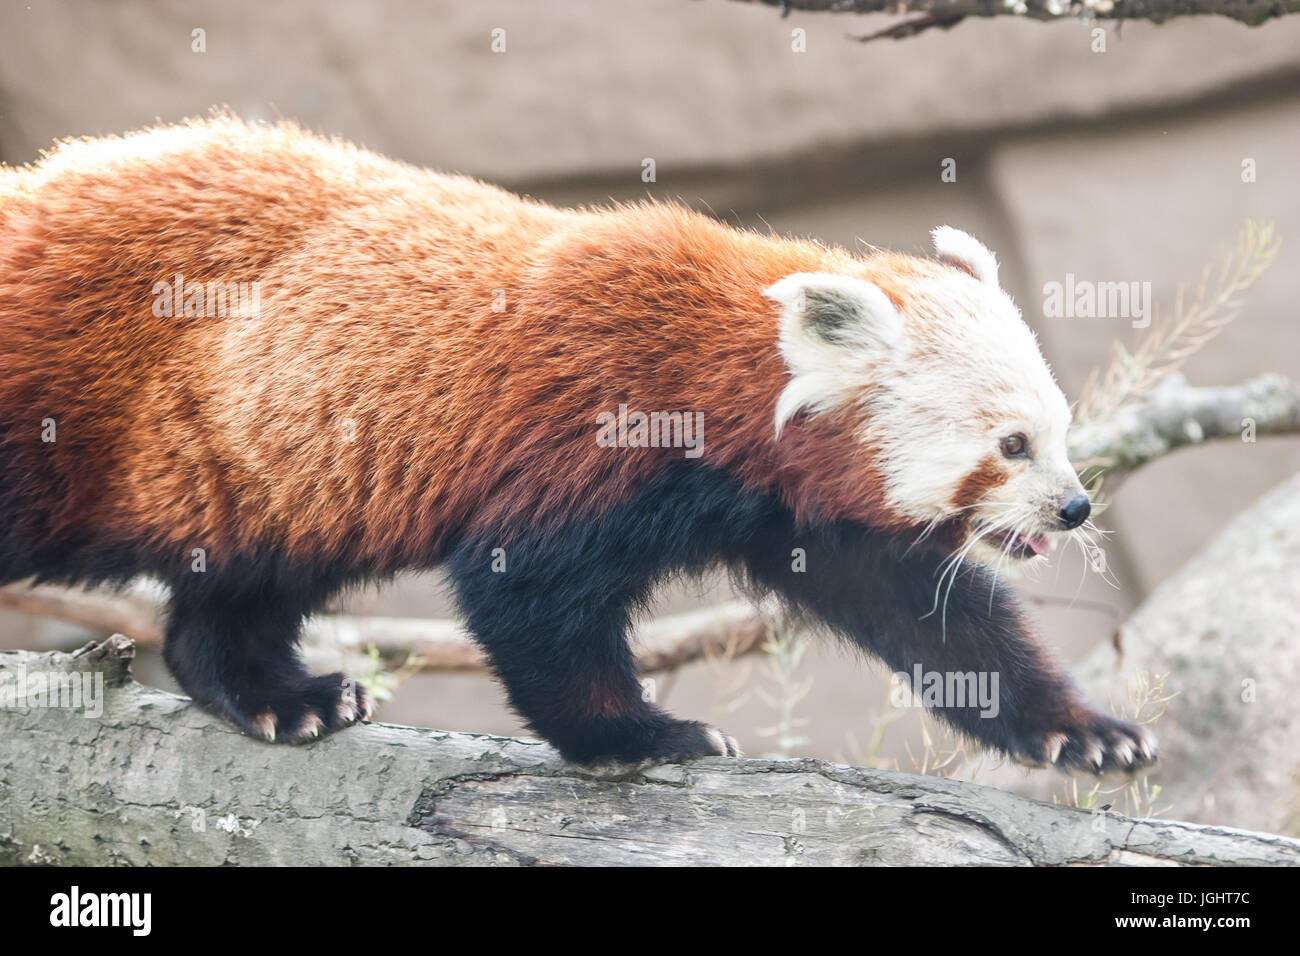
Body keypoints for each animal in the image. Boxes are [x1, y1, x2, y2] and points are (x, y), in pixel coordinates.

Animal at [0, 117, 1155, 774]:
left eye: (1057, 434)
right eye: (1011, 444)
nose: (1074, 508)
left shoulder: (811, 512)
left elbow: (941, 624)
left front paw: (1081, 726)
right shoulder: (587, 429)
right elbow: (530, 606)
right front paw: (640, 736)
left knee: (232, 596)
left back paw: (284, 698)